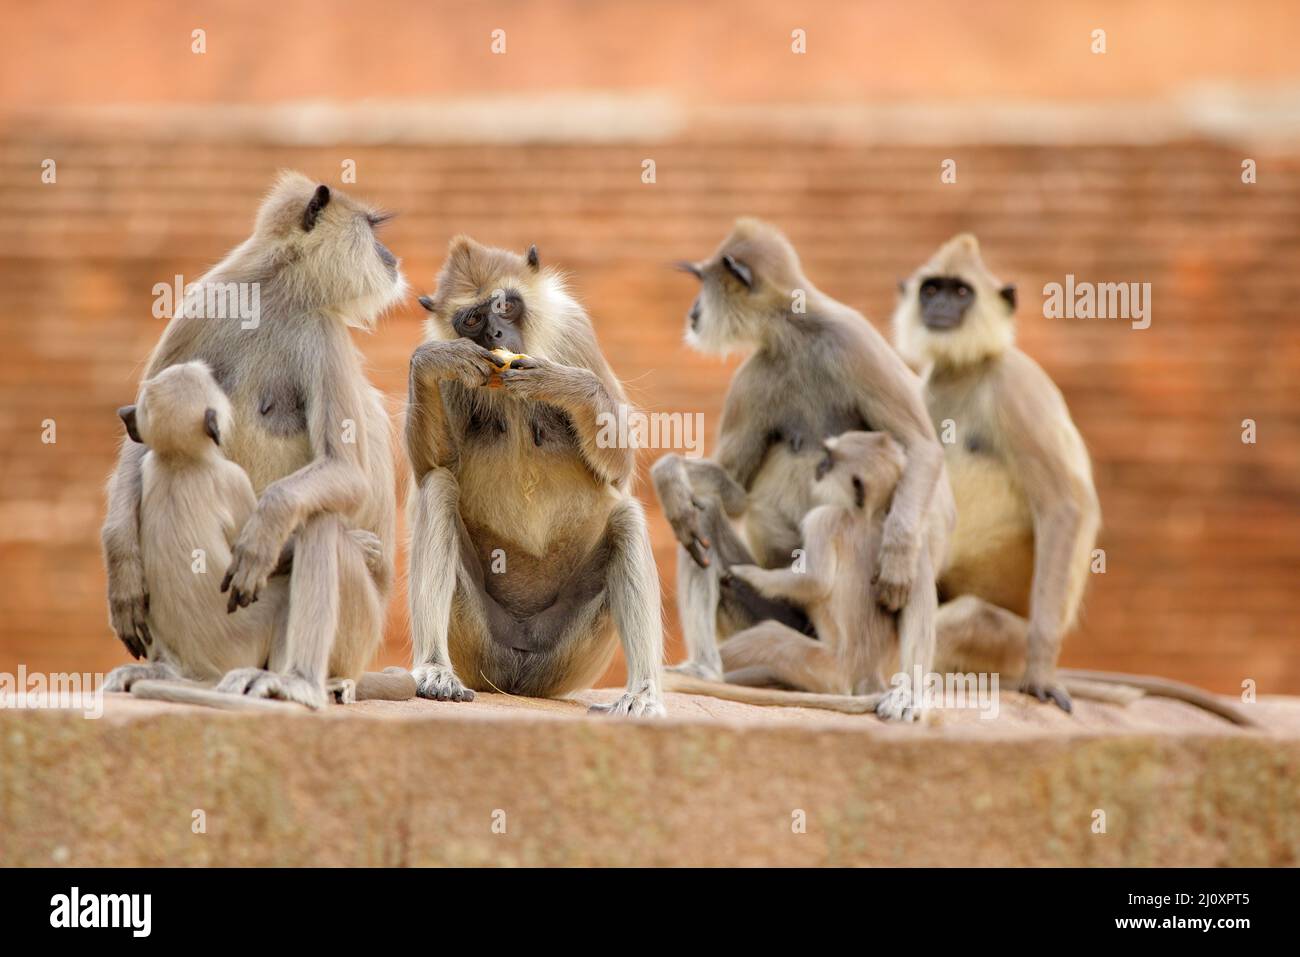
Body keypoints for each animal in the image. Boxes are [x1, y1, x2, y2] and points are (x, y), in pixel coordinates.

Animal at [100, 172, 400, 710]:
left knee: (321, 520)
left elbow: (345, 471)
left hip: (360, 630)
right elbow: (139, 436)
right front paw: (123, 571)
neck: (277, 292)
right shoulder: (210, 296)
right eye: (372, 229)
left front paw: (265, 531)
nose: (391, 258)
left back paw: (300, 681)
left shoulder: (325, 331)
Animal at [404, 237, 664, 716]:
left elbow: (620, 474)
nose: (496, 337)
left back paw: (642, 693)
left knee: (626, 518)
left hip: (566, 654)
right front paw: (435, 360)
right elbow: (430, 466)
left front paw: (566, 386)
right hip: (477, 643)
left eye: (506, 307)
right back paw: (435, 670)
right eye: (473, 320)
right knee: (438, 488)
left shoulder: (575, 330)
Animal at [651, 218, 954, 720]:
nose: (693, 311)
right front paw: (668, 474)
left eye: (703, 285)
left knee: (919, 548)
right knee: (700, 515)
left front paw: (895, 555)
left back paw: (907, 686)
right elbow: (732, 491)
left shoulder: (853, 339)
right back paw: (705, 669)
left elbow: (923, 447)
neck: (795, 334)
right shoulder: (753, 376)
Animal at [890, 233, 1256, 726]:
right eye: (932, 290)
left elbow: (1064, 505)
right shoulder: (925, 389)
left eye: (961, 292)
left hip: (1007, 640)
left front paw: (1042, 674)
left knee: (971, 618)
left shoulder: (1016, 385)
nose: (941, 306)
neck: (964, 368)